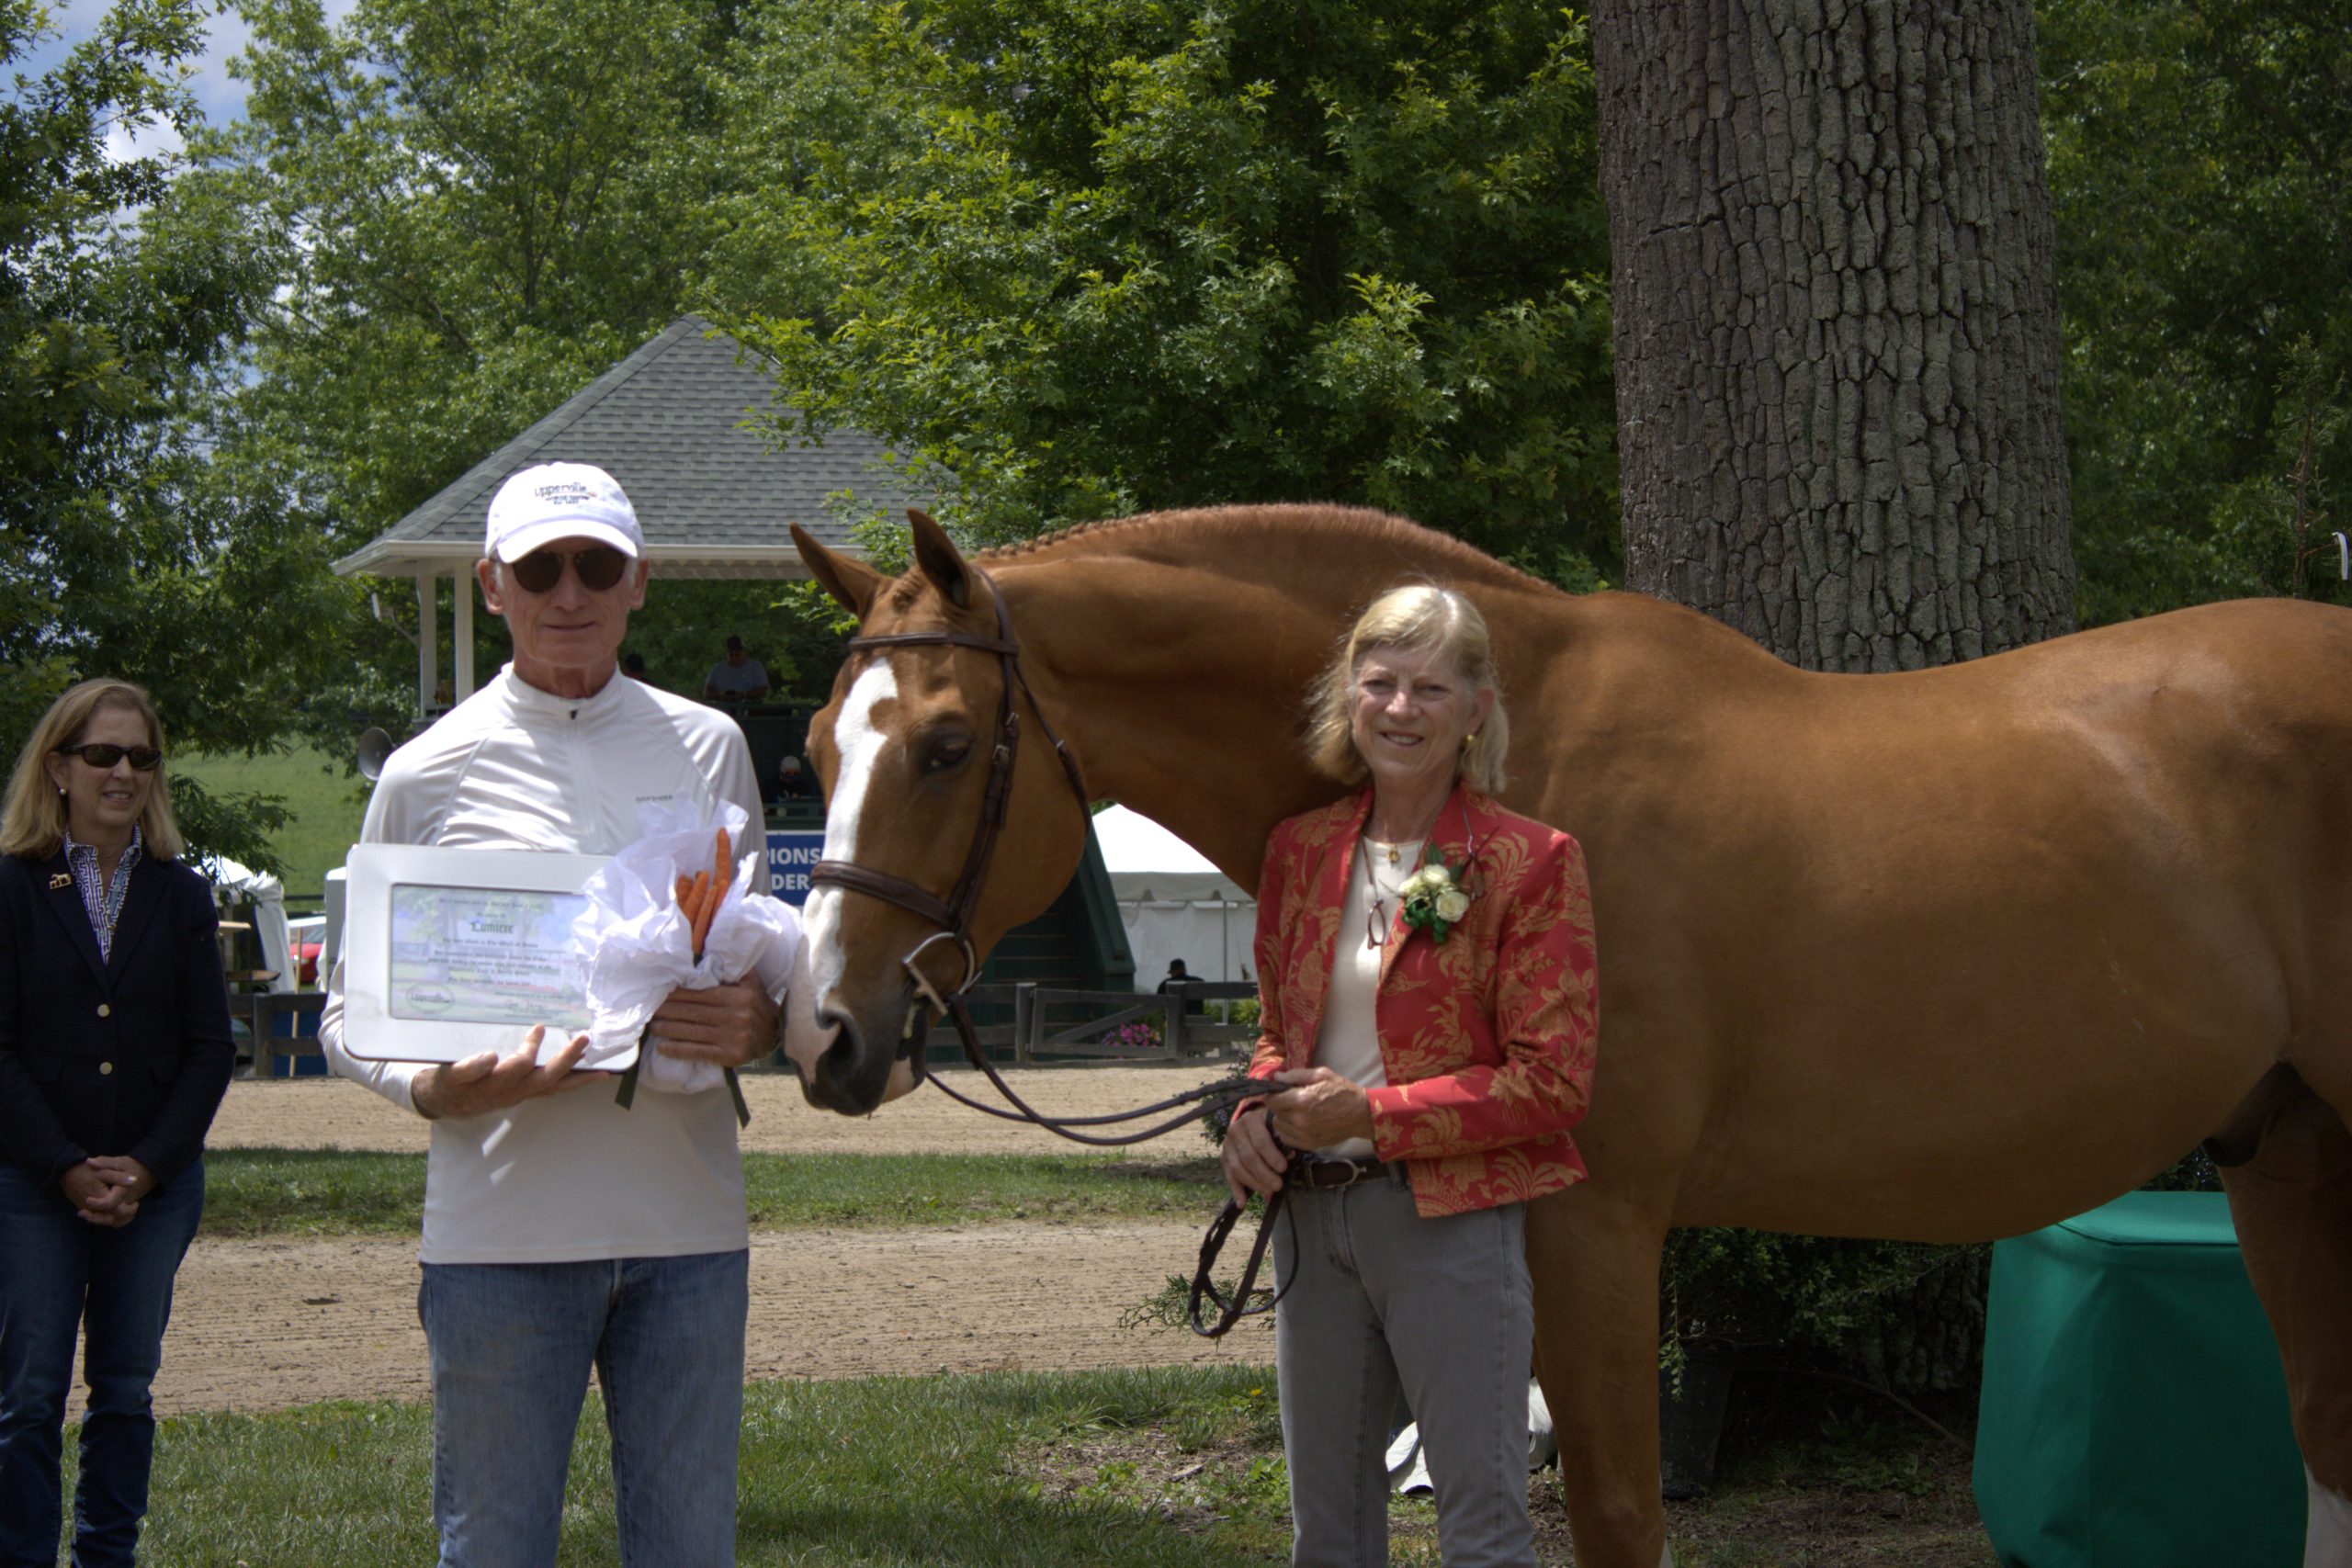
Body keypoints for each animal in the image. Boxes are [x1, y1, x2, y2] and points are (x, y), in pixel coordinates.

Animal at [779, 503, 2352, 1568]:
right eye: (810, 748)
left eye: (944, 746)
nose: (828, 1034)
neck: (1520, 743)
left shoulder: (1592, 1221)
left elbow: (1614, 1512)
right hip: (2286, 1153)